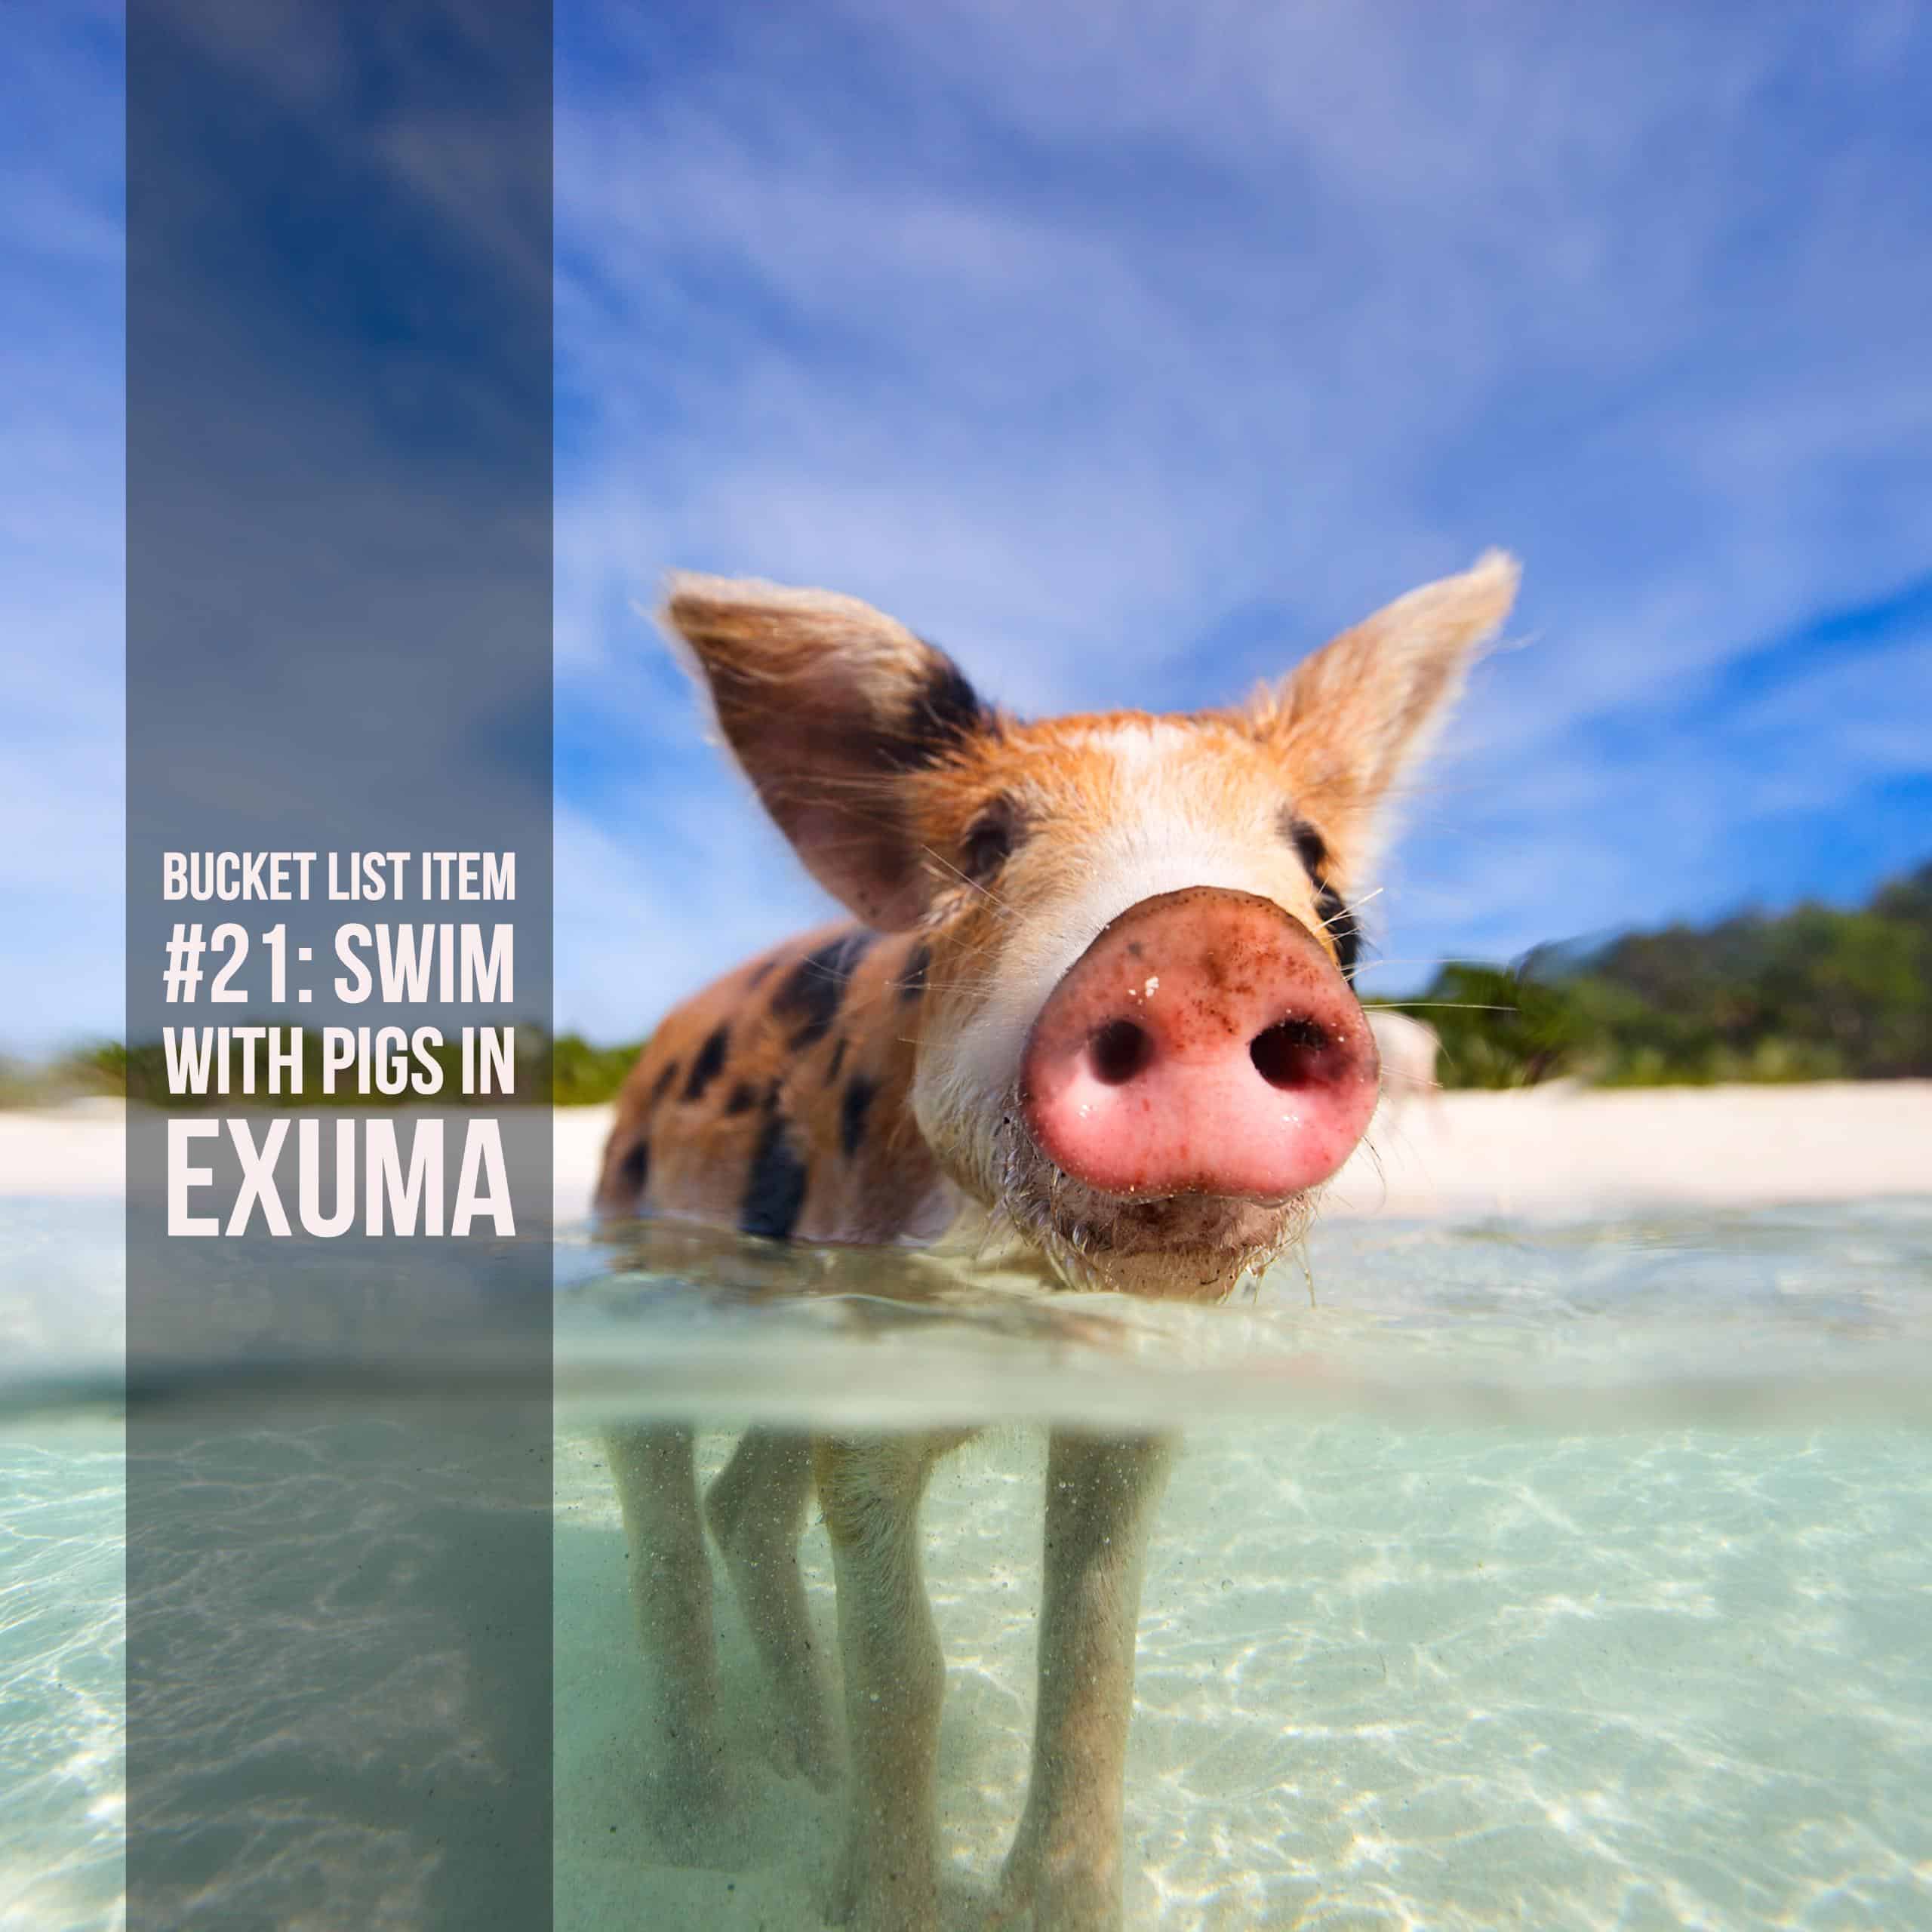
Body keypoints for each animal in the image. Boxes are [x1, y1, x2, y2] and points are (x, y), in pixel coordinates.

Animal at [595, 553, 1518, 1931]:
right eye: (987, 845)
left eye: (1314, 863)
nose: (1206, 936)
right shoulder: (869, 1372)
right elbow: (909, 1675)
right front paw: (880, 1908)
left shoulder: (1126, 1396)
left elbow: (1089, 1656)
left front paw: (1056, 1906)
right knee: (666, 1525)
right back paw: (703, 1826)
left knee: (744, 1508)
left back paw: (803, 1762)